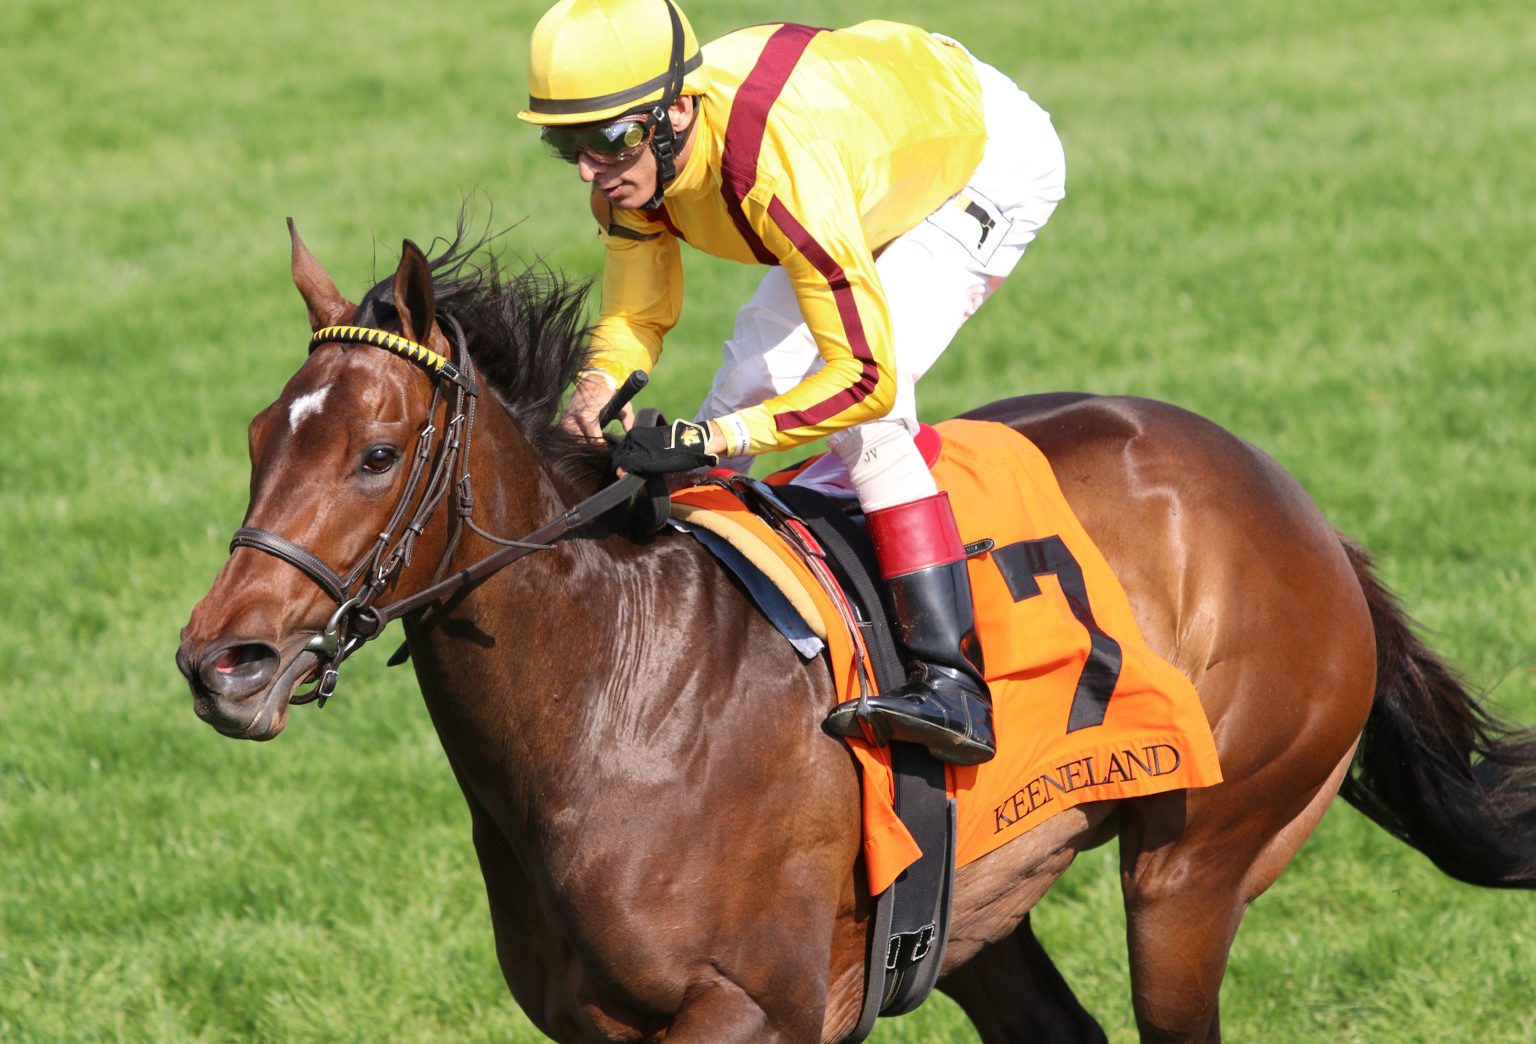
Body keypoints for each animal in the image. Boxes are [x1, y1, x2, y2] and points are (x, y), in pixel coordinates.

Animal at [177, 224, 1536, 1042]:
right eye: (254, 437)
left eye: (376, 453)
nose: (220, 662)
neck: (613, 695)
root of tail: (1300, 510)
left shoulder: (752, 1007)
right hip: (975, 902)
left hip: (1201, 860)